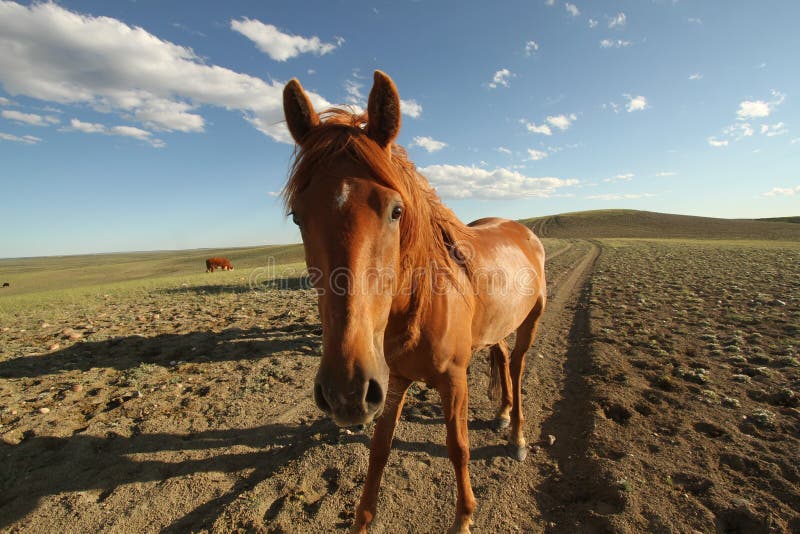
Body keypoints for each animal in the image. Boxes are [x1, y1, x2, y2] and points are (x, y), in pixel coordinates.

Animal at [282, 71, 546, 533]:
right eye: (298, 215)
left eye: (395, 210)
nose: (343, 390)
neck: (420, 309)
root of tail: (523, 230)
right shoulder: (392, 380)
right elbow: (379, 451)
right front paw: (361, 521)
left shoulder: (454, 380)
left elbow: (458, 447)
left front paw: (463, 518)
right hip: (493, 326)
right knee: (500, 356)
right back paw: (501, 414)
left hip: (530, 321)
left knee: (516, 367)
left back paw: (516, 436)